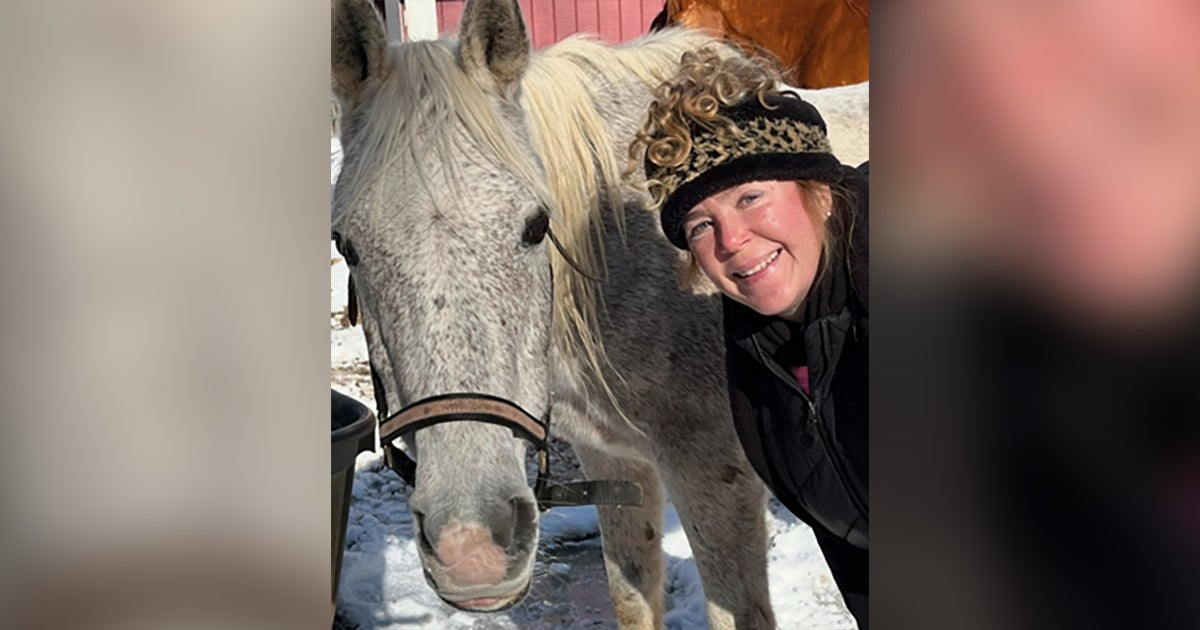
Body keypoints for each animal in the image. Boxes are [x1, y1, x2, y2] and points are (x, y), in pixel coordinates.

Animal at [332, 0, 775, 627]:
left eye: (537, 225)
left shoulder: (715, 473)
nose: (471, 549)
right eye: (346, 246)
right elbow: (631, 597)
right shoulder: (614, 462)